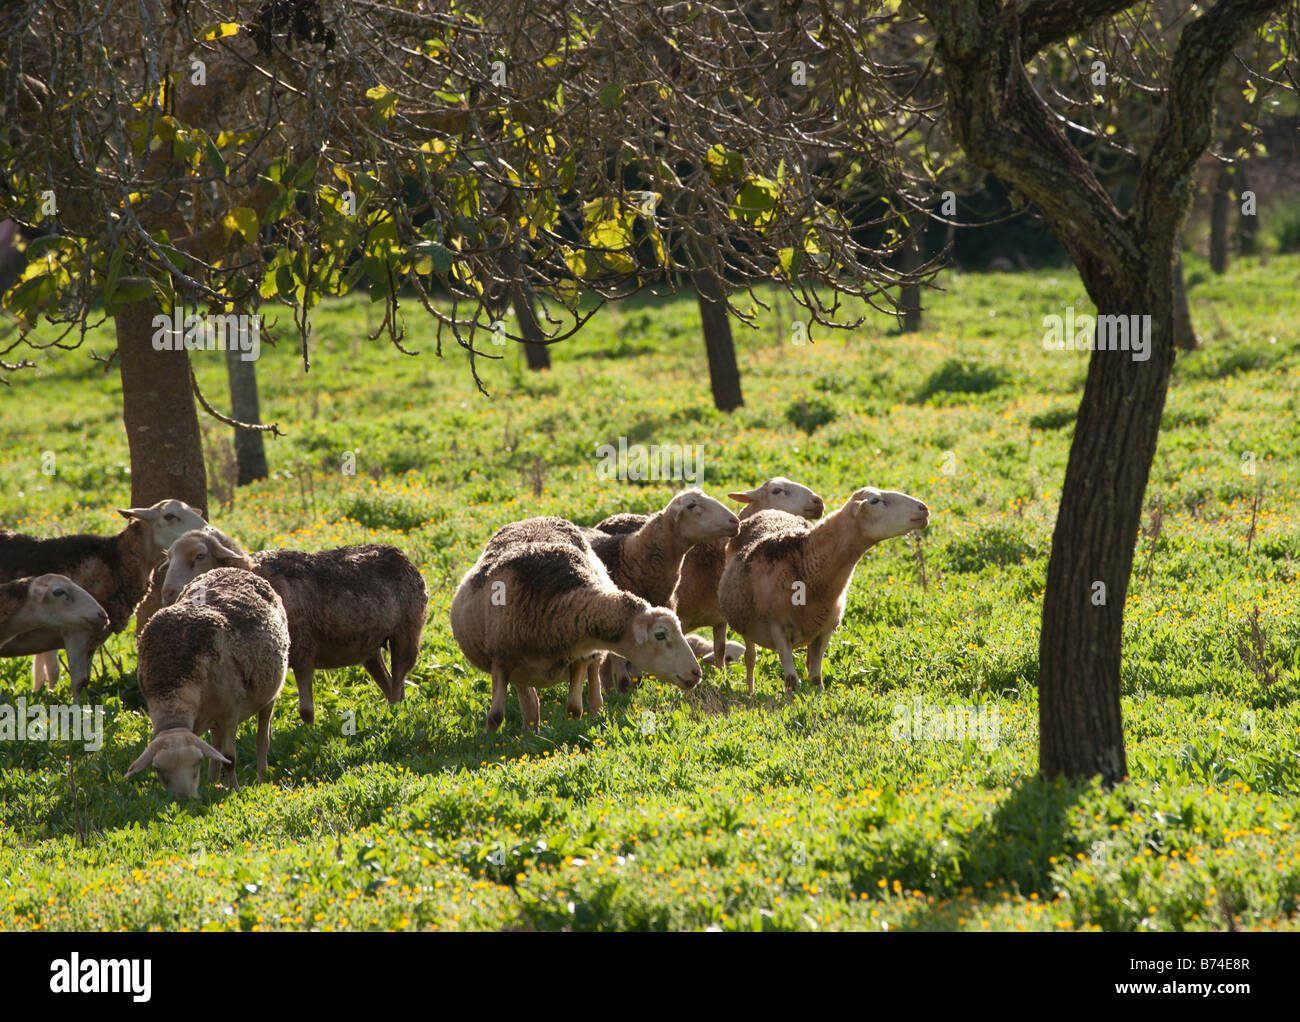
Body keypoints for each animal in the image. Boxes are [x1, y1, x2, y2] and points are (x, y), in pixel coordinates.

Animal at [0, 499, 208, 698]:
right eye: (169, 516)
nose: (206, 529)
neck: (113, 560)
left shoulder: (94, 634)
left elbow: (80, 679)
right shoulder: (76, 631)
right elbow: (78, 682)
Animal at [126, 568, 289, 800]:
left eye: (197, 764)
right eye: (158, 770)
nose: (185, 800)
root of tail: (232, 570)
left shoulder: (230, 713)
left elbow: (230, 757)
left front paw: (234, 789)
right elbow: (217, 752)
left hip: (269, 696)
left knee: (261, 738)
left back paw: (261, 775)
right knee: (215, 742)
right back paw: (213, 781)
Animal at [158, 529, 428, 725]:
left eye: (200, 556)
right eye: (169, 558)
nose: (167, 593)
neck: (254, 572)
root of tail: (401, 555)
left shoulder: (303, 650)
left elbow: (306, 710)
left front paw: (311, 736)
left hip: (407, 634)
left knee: (398, 684)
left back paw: (395, 717)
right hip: (370, 648)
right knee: (390, 686)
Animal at [450, 516, 701, 733]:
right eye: (660, 635)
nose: (696, 673)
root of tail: (537, 517)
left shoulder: (580, 655)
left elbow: (574, 707)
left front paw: (574, 728)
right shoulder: (500, 658)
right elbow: (495, 716)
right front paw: (491, 743)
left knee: (592, 690)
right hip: (519, 668)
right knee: (530, 703)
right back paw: (529, 734)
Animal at [718, 487, 929, 693]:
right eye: (875, 501)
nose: (924, 508)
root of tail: (769, 512)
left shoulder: (826, 629)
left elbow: (815, 678)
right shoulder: (778, 627)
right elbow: (791, 680)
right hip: (746, 623)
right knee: (750, 657)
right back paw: (750, 692)